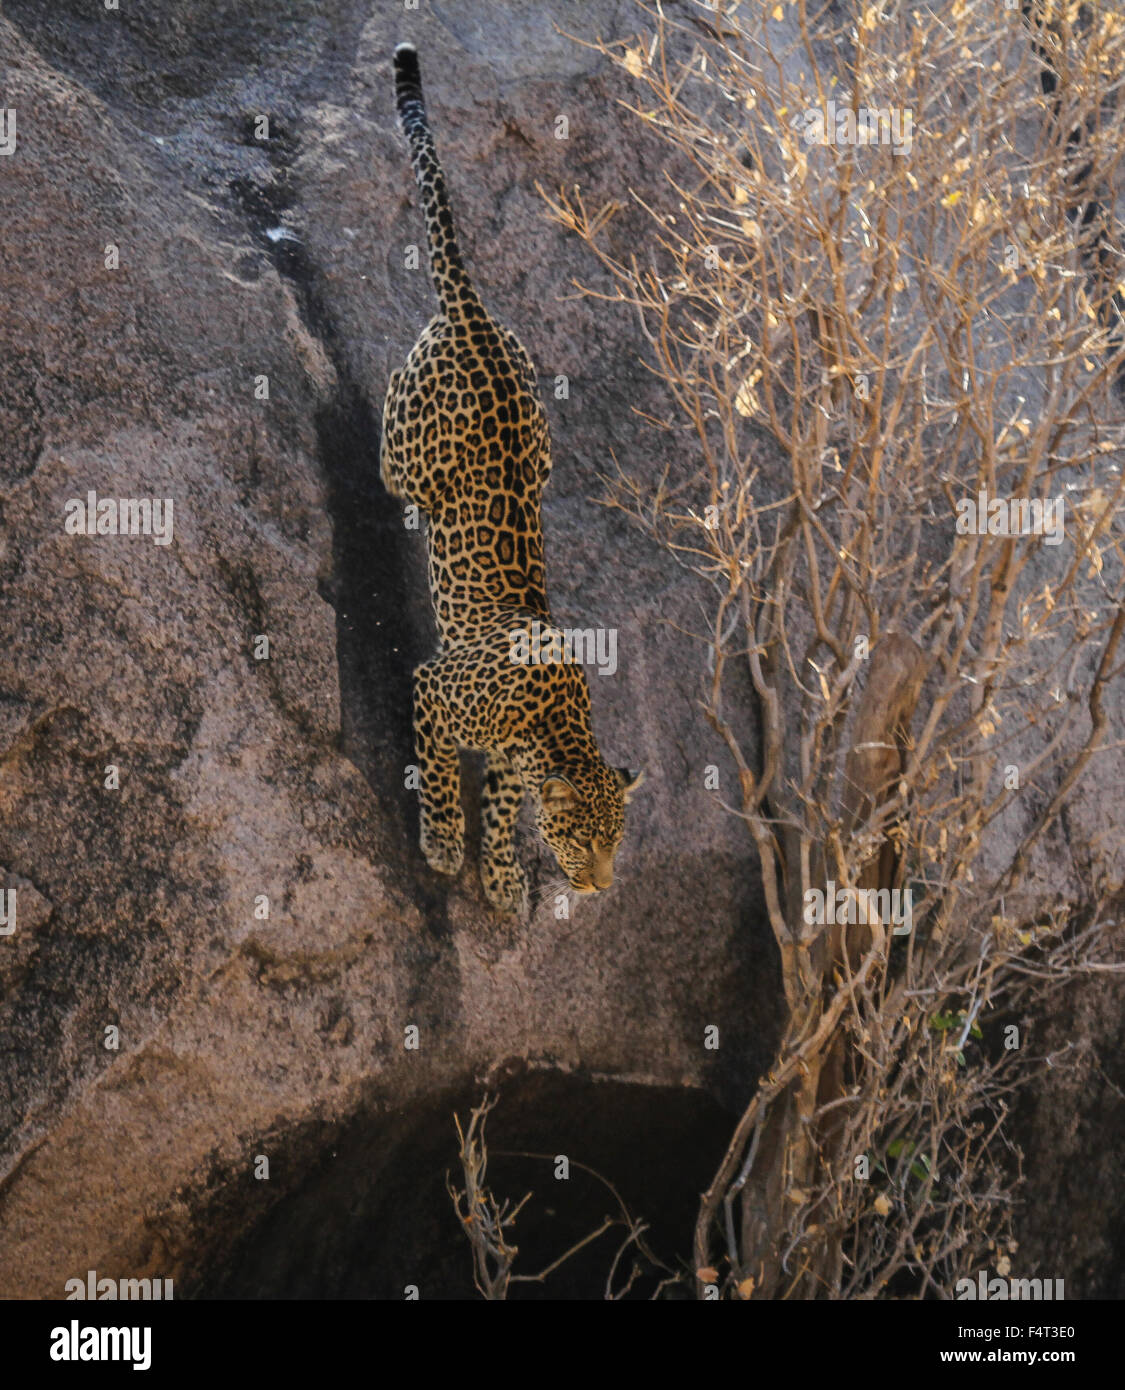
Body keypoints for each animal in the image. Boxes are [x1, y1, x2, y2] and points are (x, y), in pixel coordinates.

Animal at [380, 42, 643, 919]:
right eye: (580, 841)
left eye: (615, 841)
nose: (600, 886)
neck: (555, 730)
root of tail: (474, 311)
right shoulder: (432, 689)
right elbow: (440, 777)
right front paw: (439, 843)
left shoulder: (506, 760)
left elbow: (498, 807)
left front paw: (496, 877)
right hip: (409, 453)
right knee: (389, 449)